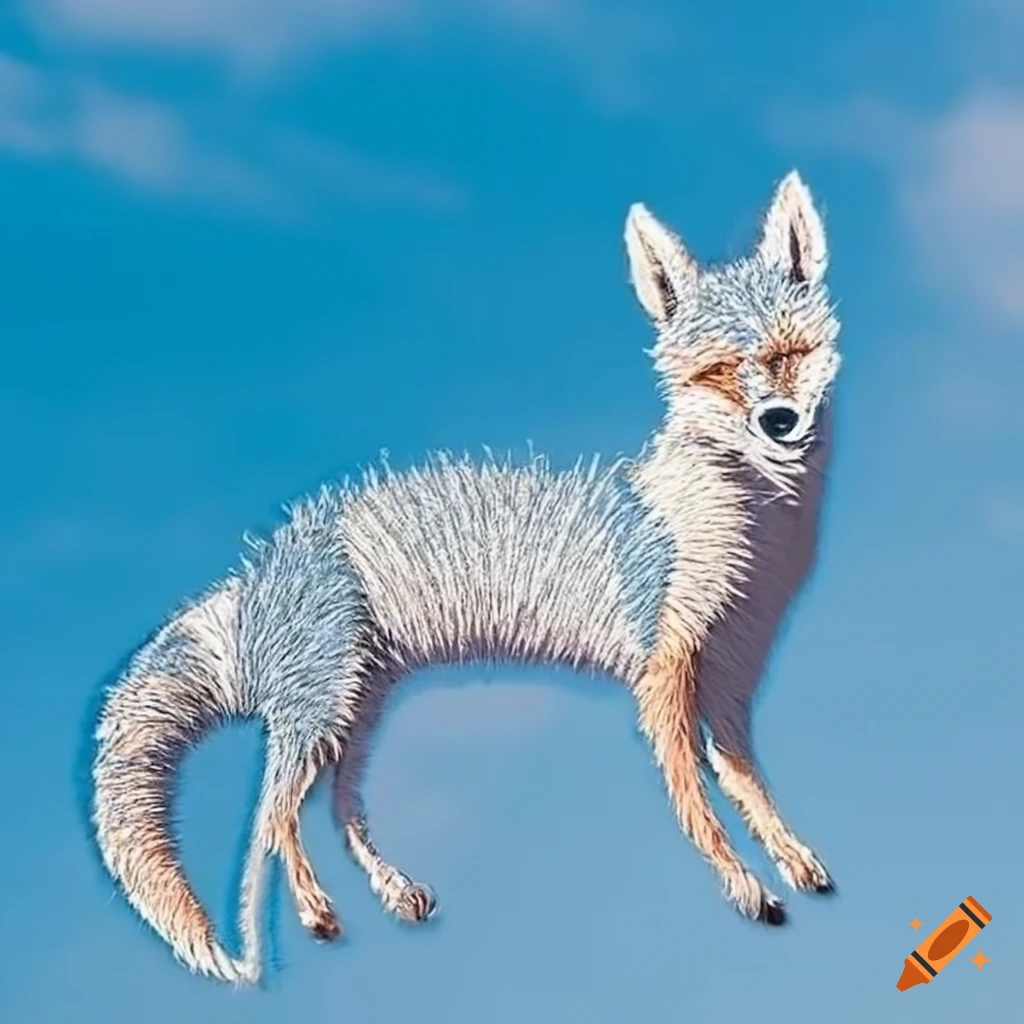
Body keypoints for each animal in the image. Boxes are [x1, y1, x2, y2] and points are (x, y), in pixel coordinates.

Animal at [91, 170, 842, 986]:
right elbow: (699, 805)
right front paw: (746, 889)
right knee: (269, 815)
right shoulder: (663, 670)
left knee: (332, 809)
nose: (779, 421)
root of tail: (264, 558)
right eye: (718, 372)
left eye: (793, 351)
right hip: (323, 712)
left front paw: (795, 862)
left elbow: (746, 784)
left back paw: (388, 893)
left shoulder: (734, 673)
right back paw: (314, 915)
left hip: (358, 713)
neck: (741, 528)